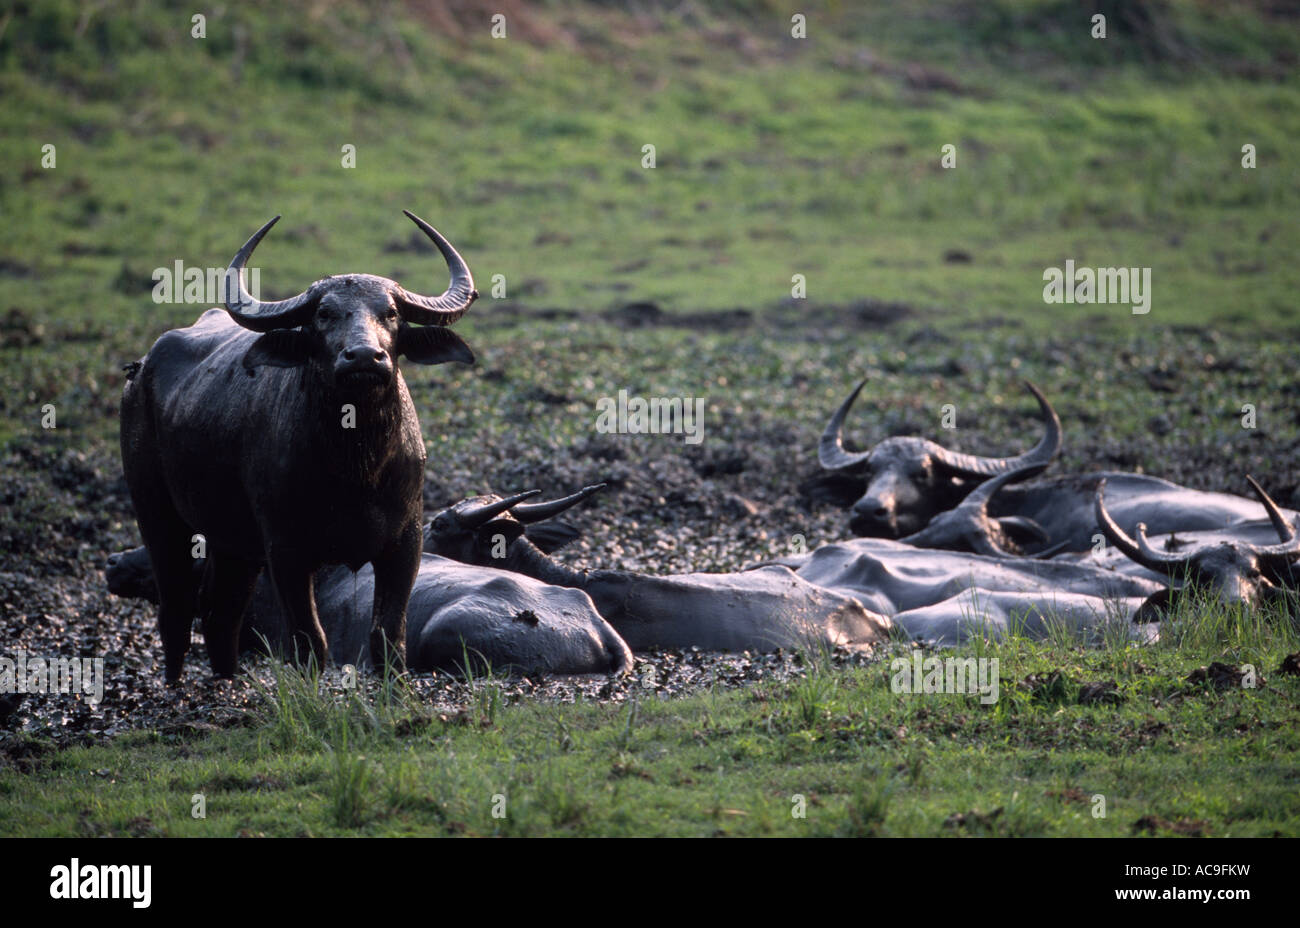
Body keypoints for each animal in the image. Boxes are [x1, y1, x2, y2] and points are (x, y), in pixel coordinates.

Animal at [120, 211, 477, 682]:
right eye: (324, 314)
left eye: (391, 313)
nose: (364, 357)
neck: (356, 465)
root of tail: (140, 370)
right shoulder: (286, 550)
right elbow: (310, 640)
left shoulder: (405, 543)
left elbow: (388, 634)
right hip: (157, 513)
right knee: (177, 606)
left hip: (233, 542)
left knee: (220, 611)